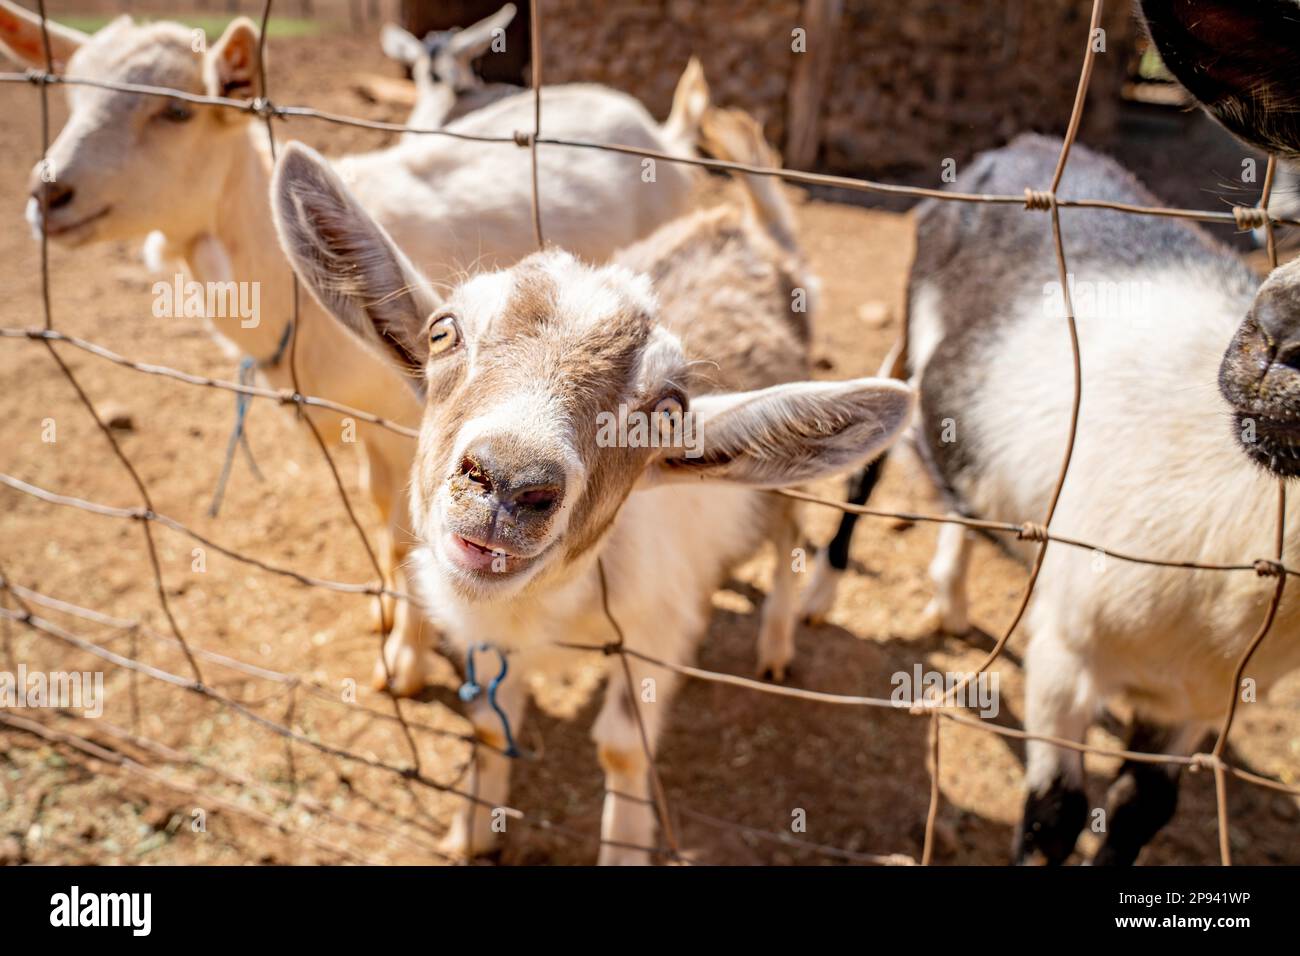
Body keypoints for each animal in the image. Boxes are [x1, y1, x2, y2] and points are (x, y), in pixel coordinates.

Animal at [270, 108, 913, 863]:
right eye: (442, 332)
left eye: (668, 409)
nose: (509, 480)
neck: (548, 610)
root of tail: (747, 228)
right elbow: (489, 724)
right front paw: (472, 830)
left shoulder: (655, 631)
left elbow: (623, 749)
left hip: (774, 489)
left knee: (790, 534)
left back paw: (778, 644)